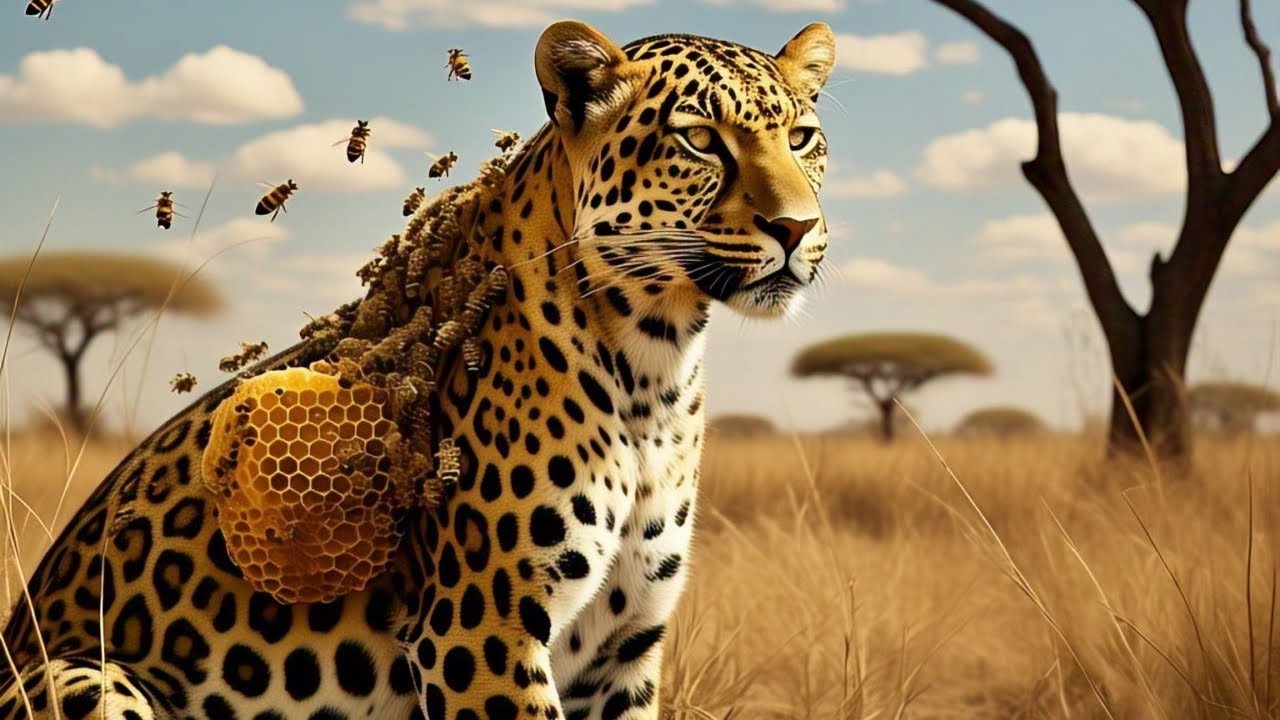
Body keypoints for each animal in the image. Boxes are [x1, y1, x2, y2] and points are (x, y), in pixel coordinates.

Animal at [0, 18, 835, 719]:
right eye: (699, 140)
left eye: (802, 138)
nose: (797, 227)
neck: (654, 363)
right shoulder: (481, 631)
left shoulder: (623, 652)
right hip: (87, 674)